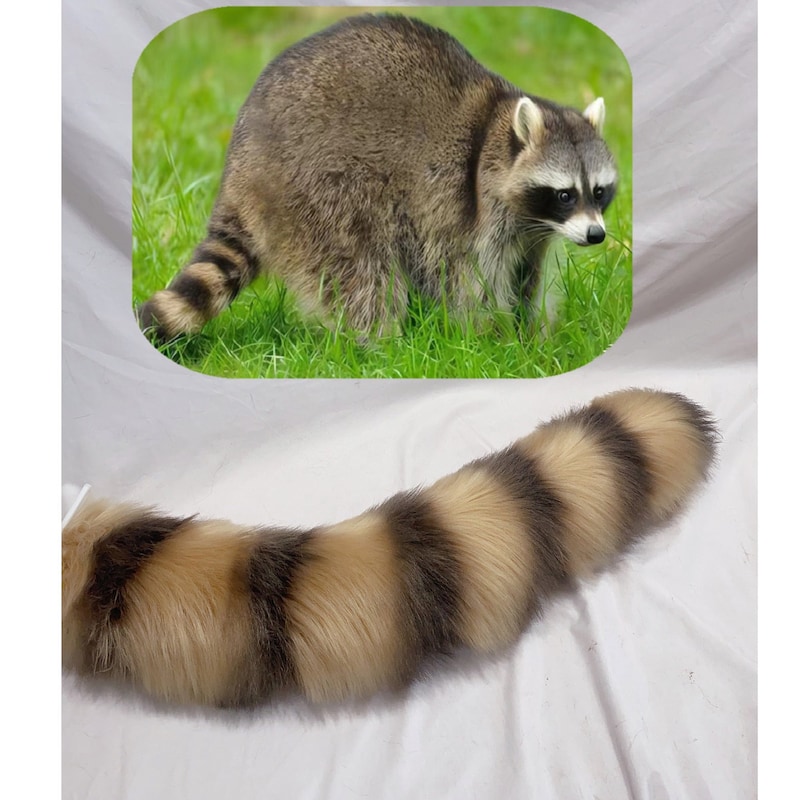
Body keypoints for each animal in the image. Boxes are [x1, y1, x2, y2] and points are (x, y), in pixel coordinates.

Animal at [137, 13, 619, 342]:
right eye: (564, 194)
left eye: (599, 192)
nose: (596, 235)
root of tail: (241, 165)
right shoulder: (470, 207)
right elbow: (472, 280)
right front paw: (489, 336)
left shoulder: (532, 232)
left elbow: (527, 275)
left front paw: (530, 331)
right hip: (321, 190)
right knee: (363, 269)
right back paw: (381, 341)